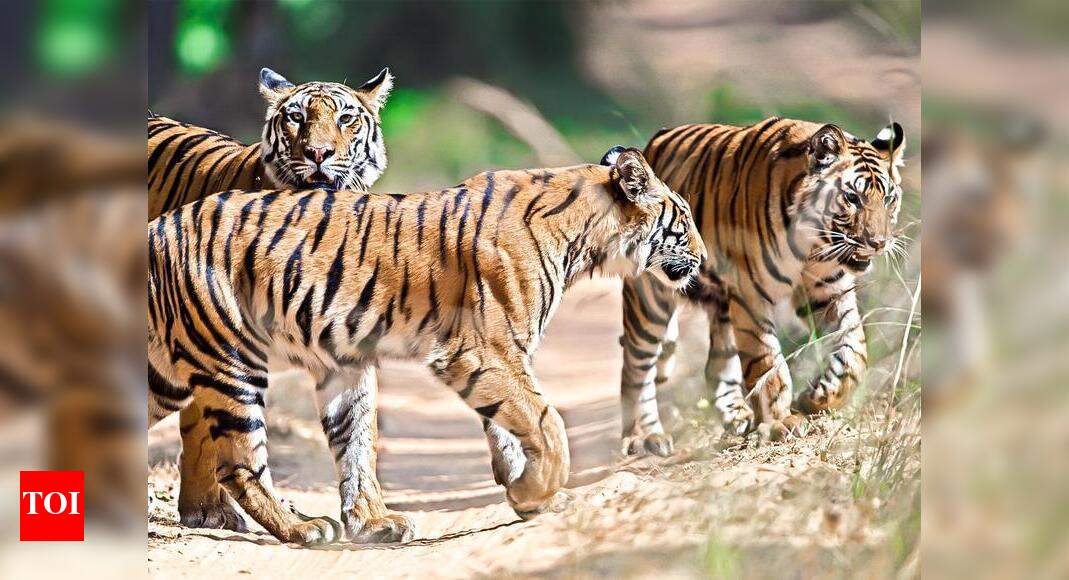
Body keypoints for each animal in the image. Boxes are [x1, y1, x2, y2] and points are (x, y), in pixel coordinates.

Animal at [147, 147, 705, 545]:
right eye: (683, 219)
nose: (703, 257)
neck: (585, 239)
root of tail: (156, 227)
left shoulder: (497, 356)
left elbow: (509, 426)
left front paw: (526, 494)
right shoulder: (483, 349)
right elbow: (548, 425)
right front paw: (537, 489)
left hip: (227, 372)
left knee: (352, 450)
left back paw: (375, 524)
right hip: (234, 360)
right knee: (240, 463)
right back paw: (304, 528)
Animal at [618, 117, 906, 455]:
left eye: (889, 199)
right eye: (852, 198)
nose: (879, 242)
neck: (814, 246)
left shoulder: (829, 290)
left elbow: (855, 350)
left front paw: (819, 397)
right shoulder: (751, 296)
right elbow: (767, 363)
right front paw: (781, 421)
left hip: (722, 303)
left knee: (717, 366)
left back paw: (738, 416)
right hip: (650, 301)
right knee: (635, 370)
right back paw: (645, 437)